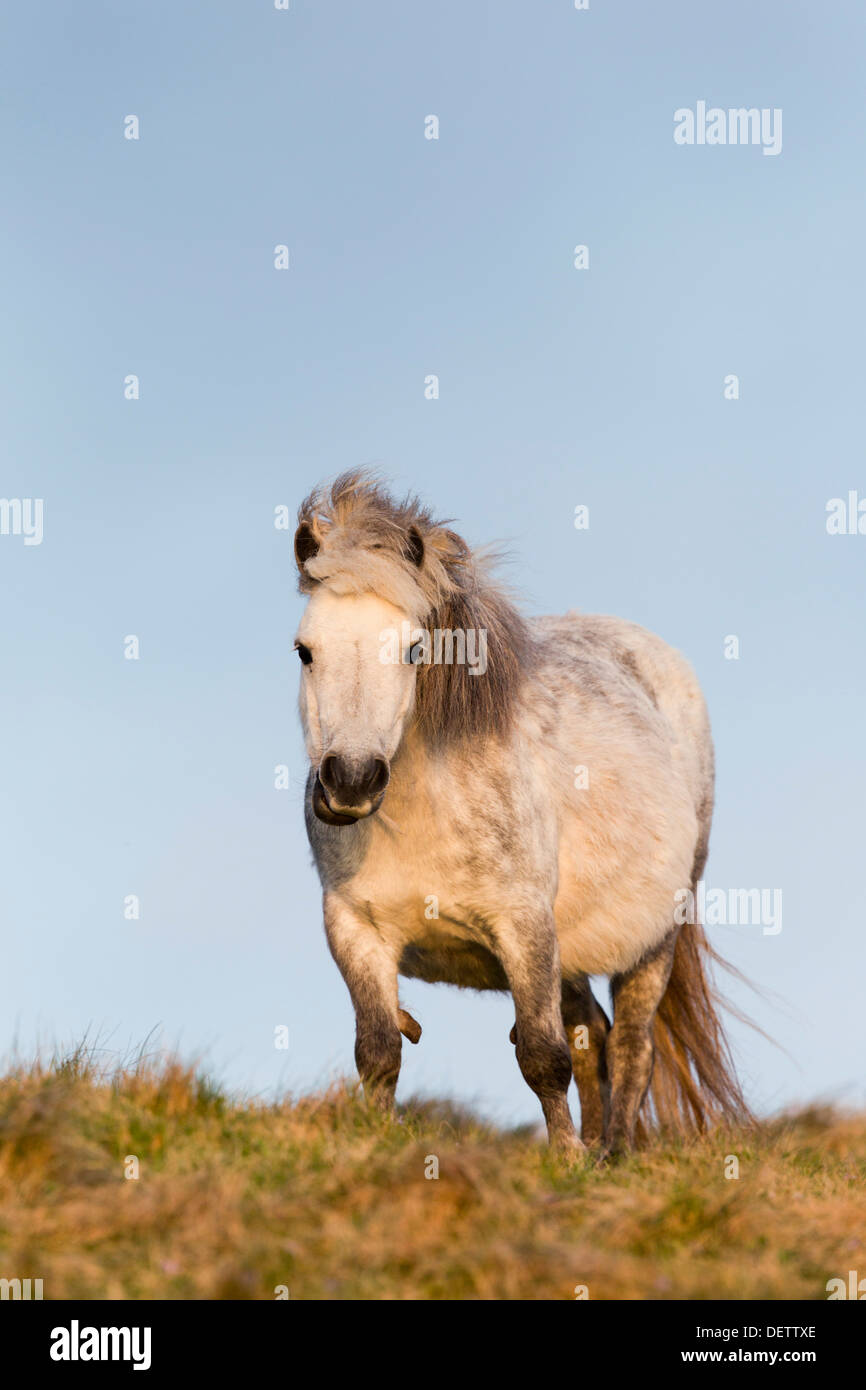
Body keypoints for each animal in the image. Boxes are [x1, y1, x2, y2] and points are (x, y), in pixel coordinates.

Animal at [292, 470, 749, 1157]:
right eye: (304, 651)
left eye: (414, 649)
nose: (350, 781)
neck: (424, 813)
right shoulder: (356, 931)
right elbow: (377, 1051)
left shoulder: (524, 927)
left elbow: (542, 1056)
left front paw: (564, 1160)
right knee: (593, 1033)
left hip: (653, 942)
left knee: (632, 1045)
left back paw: (613, 1153)